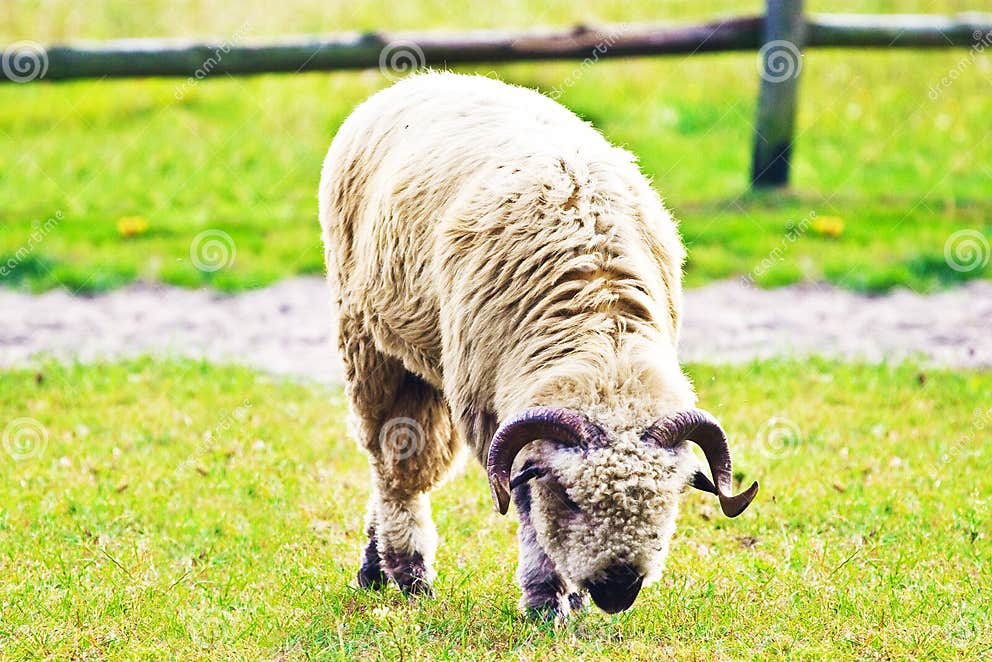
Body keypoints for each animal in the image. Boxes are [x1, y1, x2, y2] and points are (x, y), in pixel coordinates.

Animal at [318, 72, 758, 619]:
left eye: (666, 503)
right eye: (569, 498)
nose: (618, 592)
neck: (601, 327)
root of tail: (421, 79)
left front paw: (568, 598)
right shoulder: (491, 411)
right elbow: (526, 506)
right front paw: (546, 599)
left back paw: (376, 567)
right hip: (371, 345)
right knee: (393, 464)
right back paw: (407, 572)